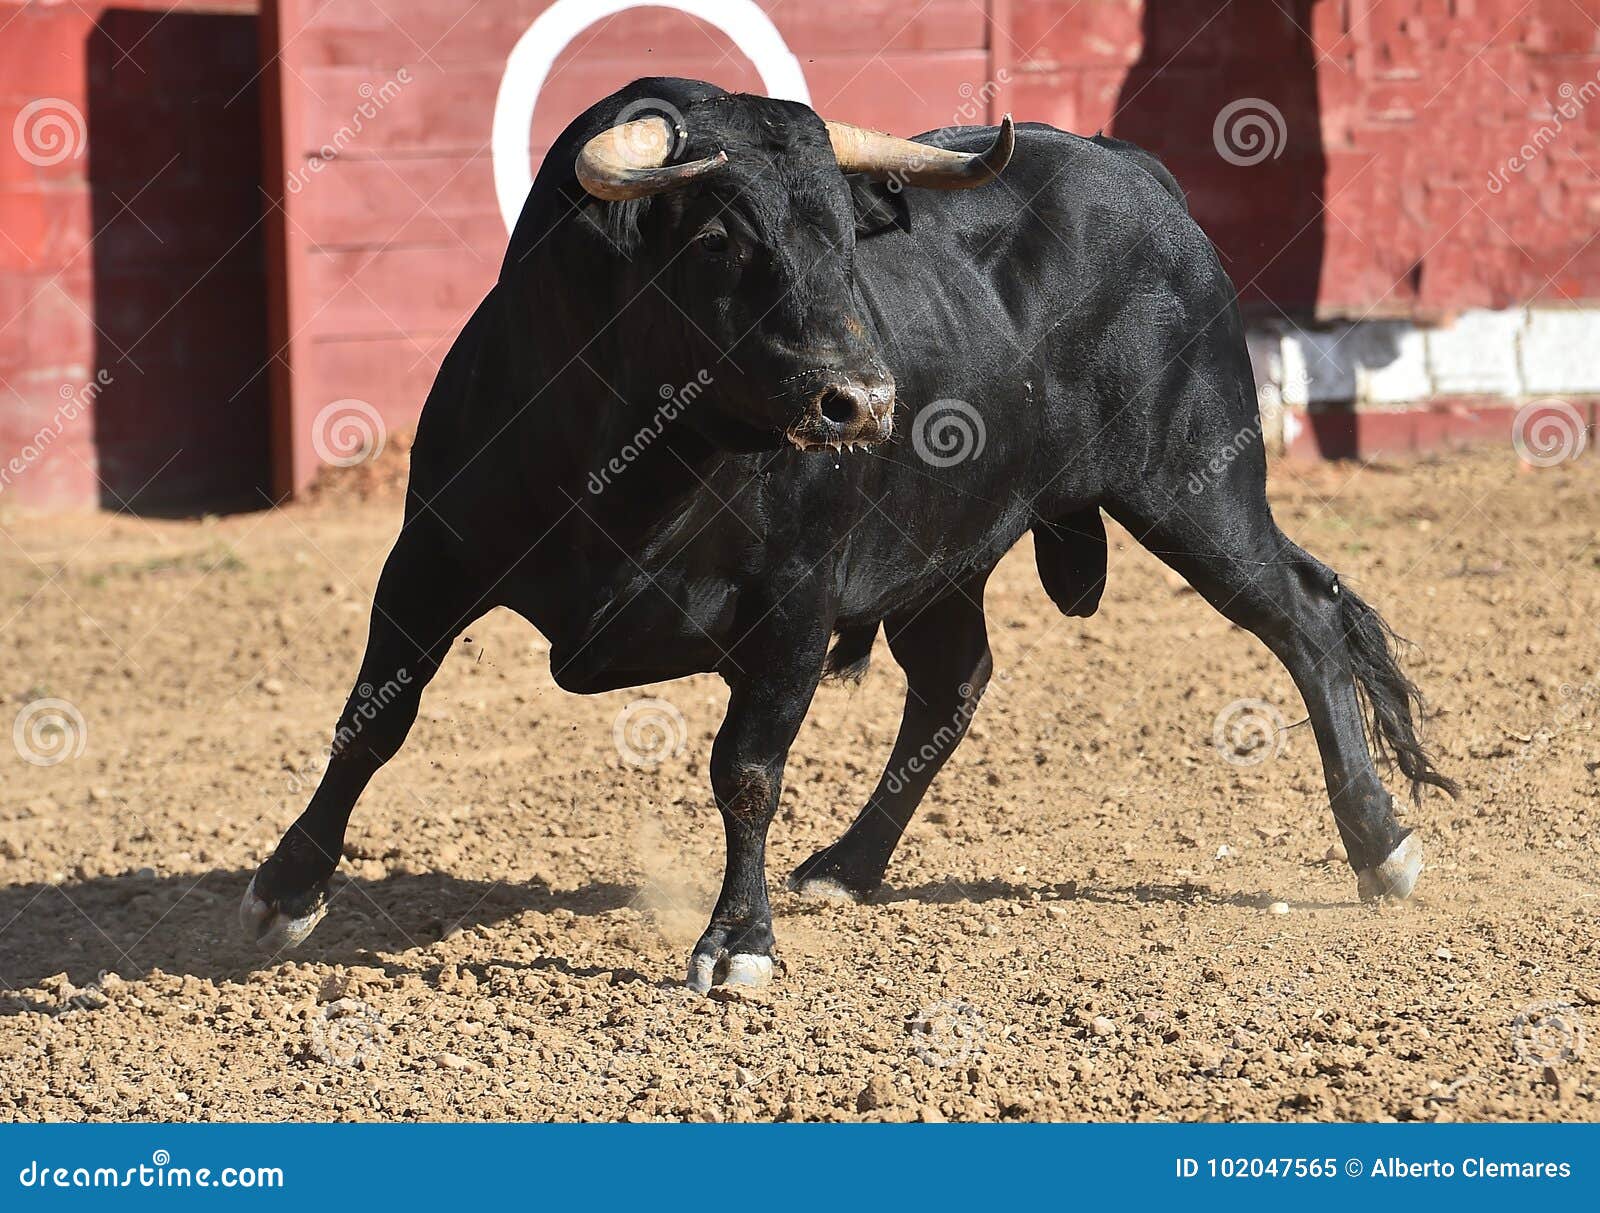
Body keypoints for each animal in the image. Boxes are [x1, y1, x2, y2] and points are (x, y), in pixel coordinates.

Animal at [241, 77, 1456, 992]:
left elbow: (746, 770)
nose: (862, 403)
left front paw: (737, 944)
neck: (635, 456)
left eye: (841, 234)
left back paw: (1379, 845)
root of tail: (1137, 173)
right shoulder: (428, 562)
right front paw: (287, 889)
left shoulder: (795, 602)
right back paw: (849, 863)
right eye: (719, 235)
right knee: (959, 678)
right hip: (952, 559)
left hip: (1196, 487)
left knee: (1301, 622)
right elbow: (372, 721)